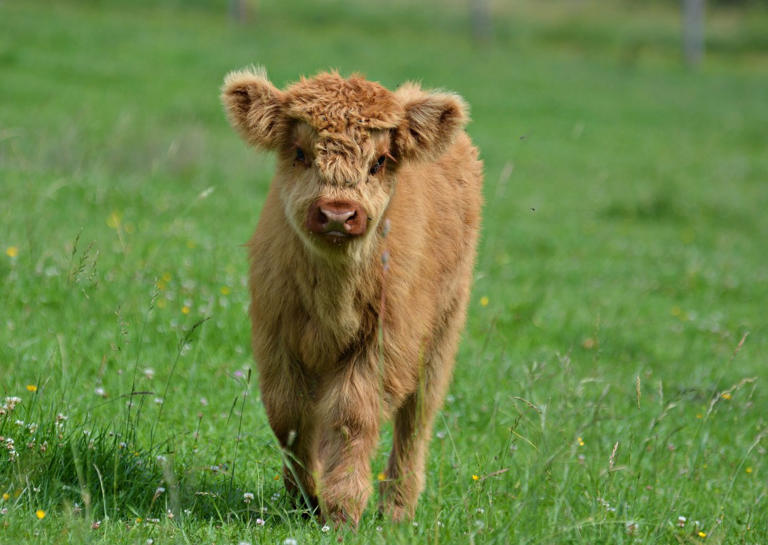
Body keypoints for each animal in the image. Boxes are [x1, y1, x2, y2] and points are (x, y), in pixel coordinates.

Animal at [221, 67, 483, 527]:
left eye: (379, 161)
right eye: (300, 152)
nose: (338, 214)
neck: (333, 296)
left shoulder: (381, 346)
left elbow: (351, 416)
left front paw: (343, 507)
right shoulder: (276, 338)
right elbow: (288, 415)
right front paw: (305, 498)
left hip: (442, 333)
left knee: (416, 419)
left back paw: (397, 509)